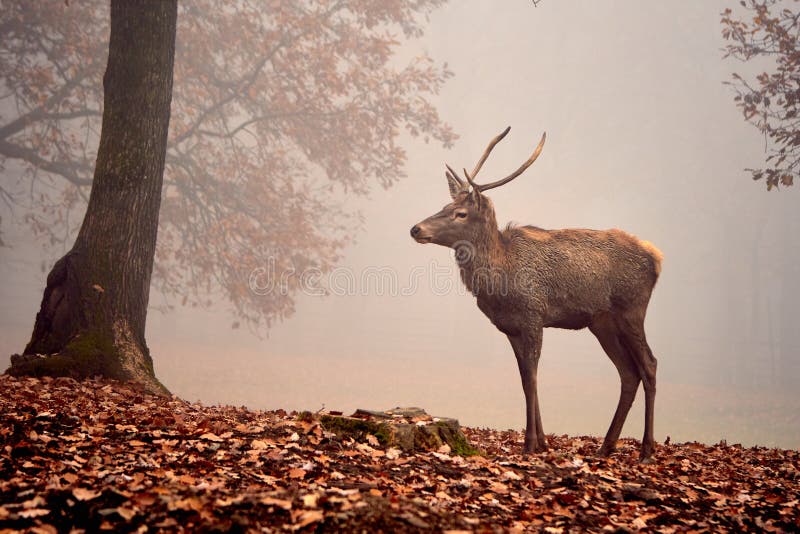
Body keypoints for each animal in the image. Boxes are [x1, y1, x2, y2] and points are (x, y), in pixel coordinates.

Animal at [410, 127, 662, 460]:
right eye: (444, 206)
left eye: (461, 213)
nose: (415, 229)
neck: (501, 279)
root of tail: (657, 258)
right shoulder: (510, 327)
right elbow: (524, 378)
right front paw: (543, 441)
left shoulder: (533, 314)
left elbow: (531, 378)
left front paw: (530, 443)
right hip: (602, 323)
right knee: (628, 373)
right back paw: (606, 445)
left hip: (632, 309)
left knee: (649, 364)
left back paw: (646, 449)